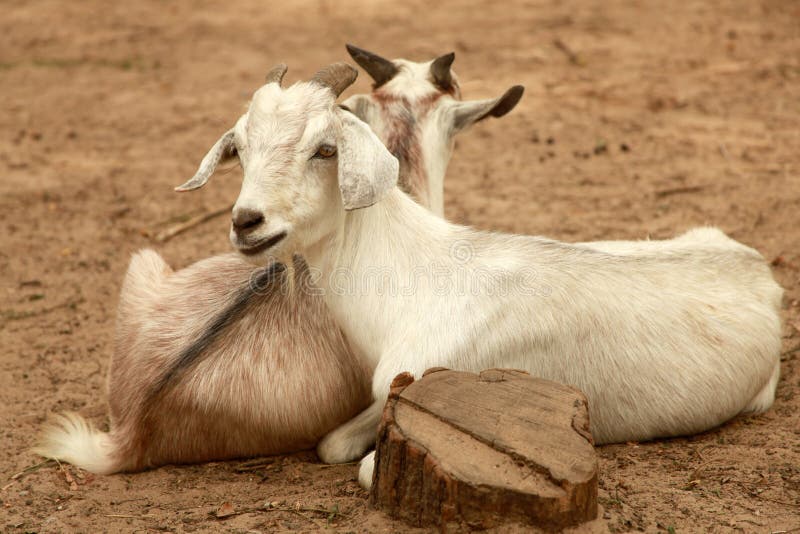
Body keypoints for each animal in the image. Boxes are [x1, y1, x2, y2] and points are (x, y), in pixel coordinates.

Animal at [33, 48, 523, 474]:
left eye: (326, 148)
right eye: (240, 148)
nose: (246, 222)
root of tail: (128, 436)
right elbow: (338, 443)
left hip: (145, 261)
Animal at [172, 63, 782, 486]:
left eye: (325, 148)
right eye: (239, 147)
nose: (247, 222)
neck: (421, 275)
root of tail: (757, 266)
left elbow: (367, 468)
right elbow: (330, 444)